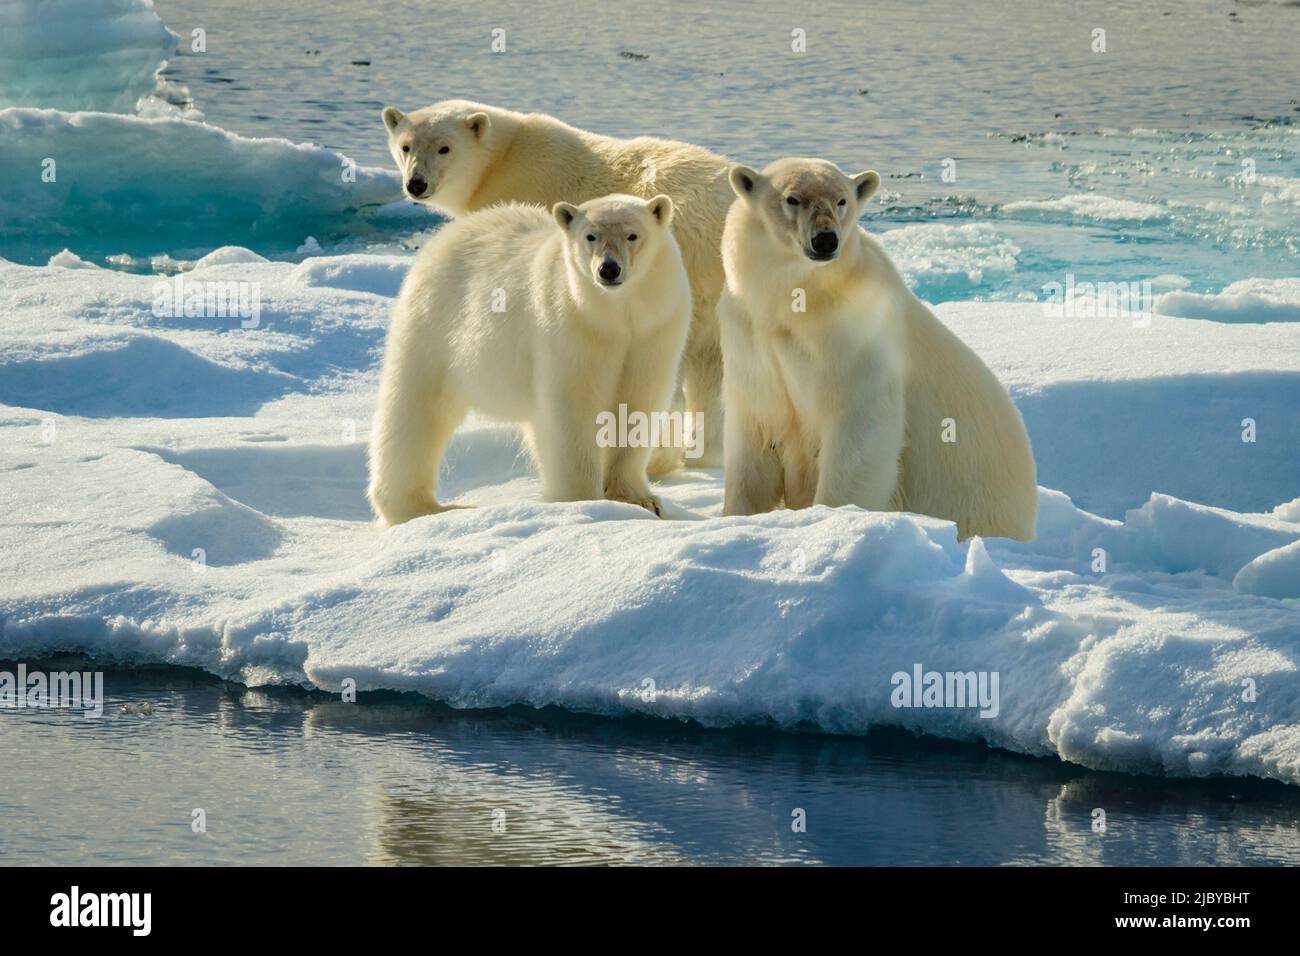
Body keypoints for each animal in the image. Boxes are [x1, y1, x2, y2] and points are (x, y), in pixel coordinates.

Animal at [367, 193, 691, 526]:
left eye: (632, 235)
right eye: (590, 236)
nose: (608, 269)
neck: (615, 316)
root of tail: (446, 235)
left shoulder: (654, 330)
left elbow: (637, 403)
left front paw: (641, 500)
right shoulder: (571, 325)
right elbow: (574, 408)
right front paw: (586, 502)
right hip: (434, 327)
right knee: (415, 410)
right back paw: (421, 507)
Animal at [380, 99, 734, 469]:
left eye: (444, 148)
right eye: (406, 146)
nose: (416, 184)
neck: (502, 159)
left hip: (686, 265)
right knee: (712, 368)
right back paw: (701, 453)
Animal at [717, 158, 1038, 541]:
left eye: (842, 200)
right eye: (792, 199)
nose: (825, 240)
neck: (792, 299)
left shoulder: (852, 340)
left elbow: (859, 436)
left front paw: (832, 517)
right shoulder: (748, 338)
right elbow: (755, 435)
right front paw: (735, 518)